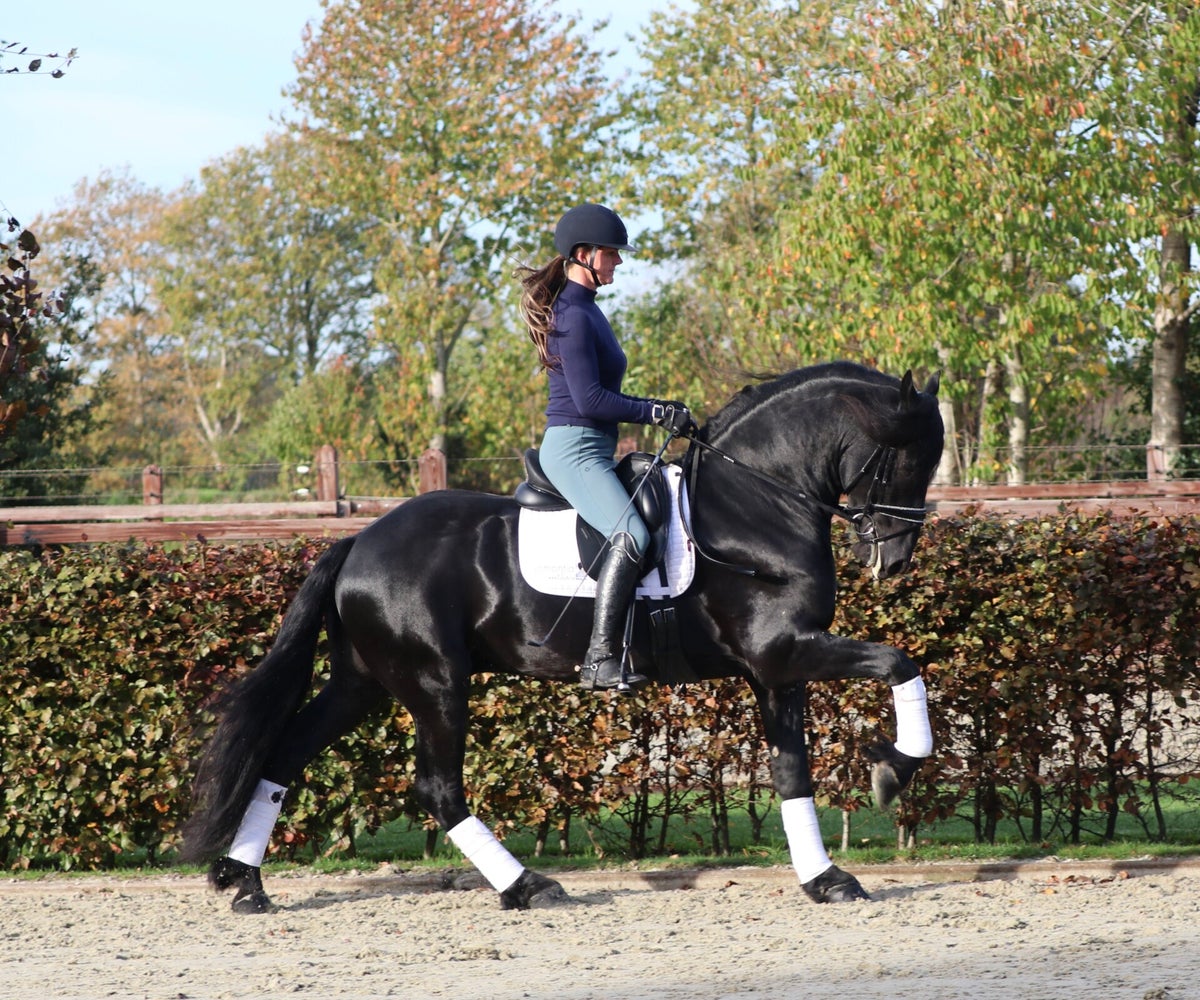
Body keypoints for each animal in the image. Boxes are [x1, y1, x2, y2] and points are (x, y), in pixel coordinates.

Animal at [180, 361, 944, 912]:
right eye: (909, 459)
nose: (896, 558)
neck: (754, 501)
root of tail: (358, 543)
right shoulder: (784, 650)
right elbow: (900, 662)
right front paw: (892, 768)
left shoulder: (775, 669)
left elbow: (792, 771)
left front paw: (825, 878)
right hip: (433, 681)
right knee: (437, 788)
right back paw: (527, 887)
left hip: (364, 681)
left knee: (287, 751)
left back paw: (244, 883)